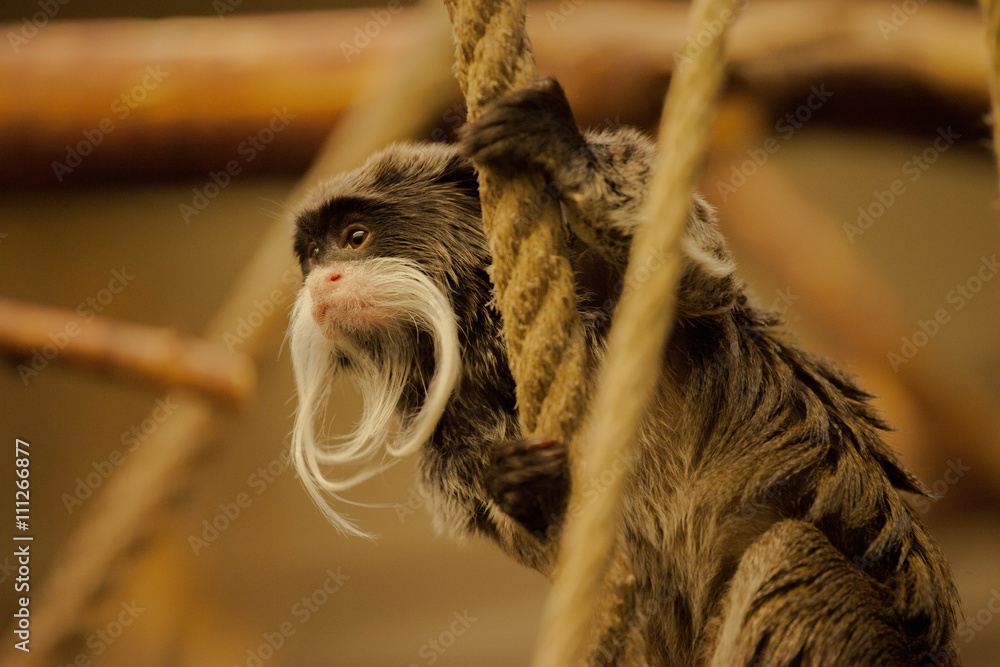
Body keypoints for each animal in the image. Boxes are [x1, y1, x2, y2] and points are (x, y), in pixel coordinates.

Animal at [287, 78, 961, 666]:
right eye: (313, 255)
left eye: (355, 237)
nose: (322, 283)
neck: (485, 340)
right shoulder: (447, 426)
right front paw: (520, 486)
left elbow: (695, 272)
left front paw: (559, 146)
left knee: (792, 552)